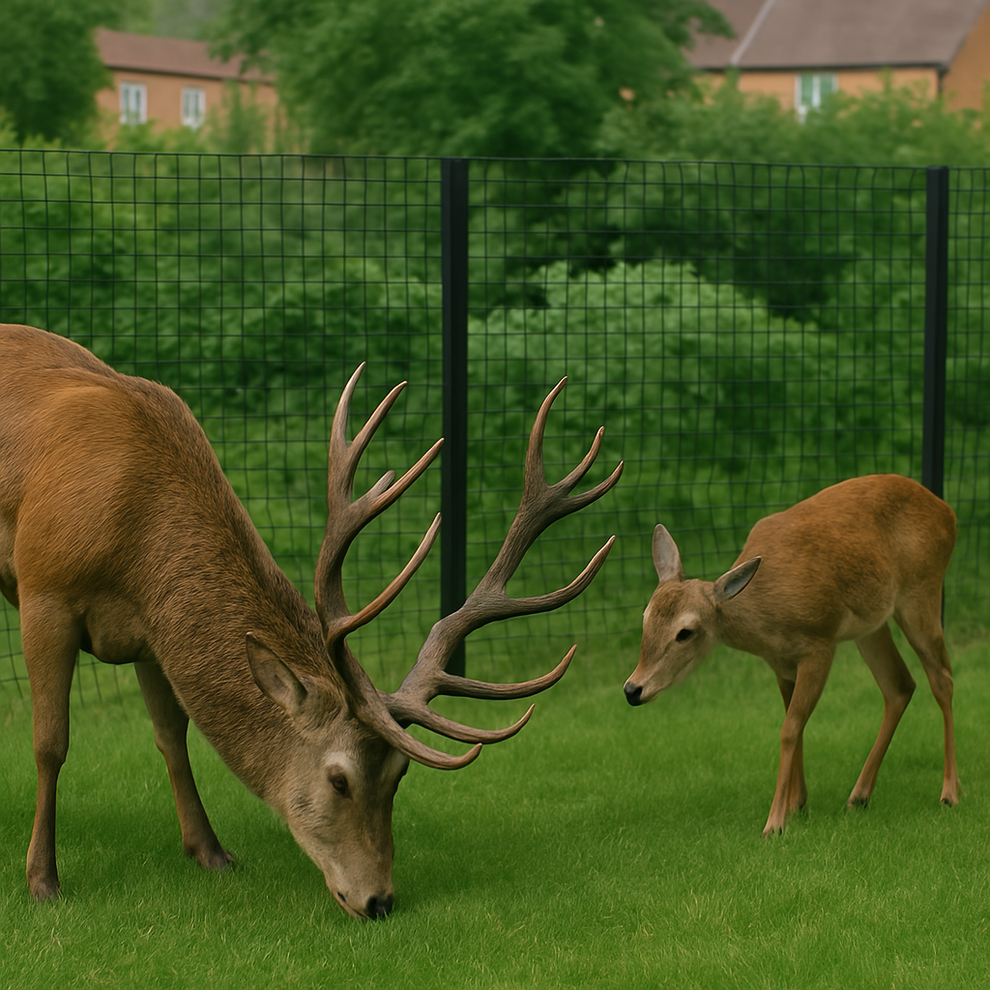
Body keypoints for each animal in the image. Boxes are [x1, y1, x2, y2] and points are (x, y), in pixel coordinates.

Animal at [0, 323, 623, 918]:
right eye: (338, 779)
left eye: (399, 775)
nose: (379, 901)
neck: (131, 530)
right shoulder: (45, 589)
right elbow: (51, 742)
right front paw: (43, 880)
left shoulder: (151, 633)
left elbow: (172, 736)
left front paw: (211, 852)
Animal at [623, 474, 958, 836]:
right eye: (646, 616)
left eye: (685, 632)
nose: (632, 689)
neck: (766, 618)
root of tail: (948, 513)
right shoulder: (780, 663)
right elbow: (793, 724)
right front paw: (797, 803)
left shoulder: (819, 644)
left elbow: (789, 728)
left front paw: (774, 822)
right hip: (871, 625)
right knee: (899, 685)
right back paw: (859, 796)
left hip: (921, 592)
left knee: (942, 679)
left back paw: (950, 793)